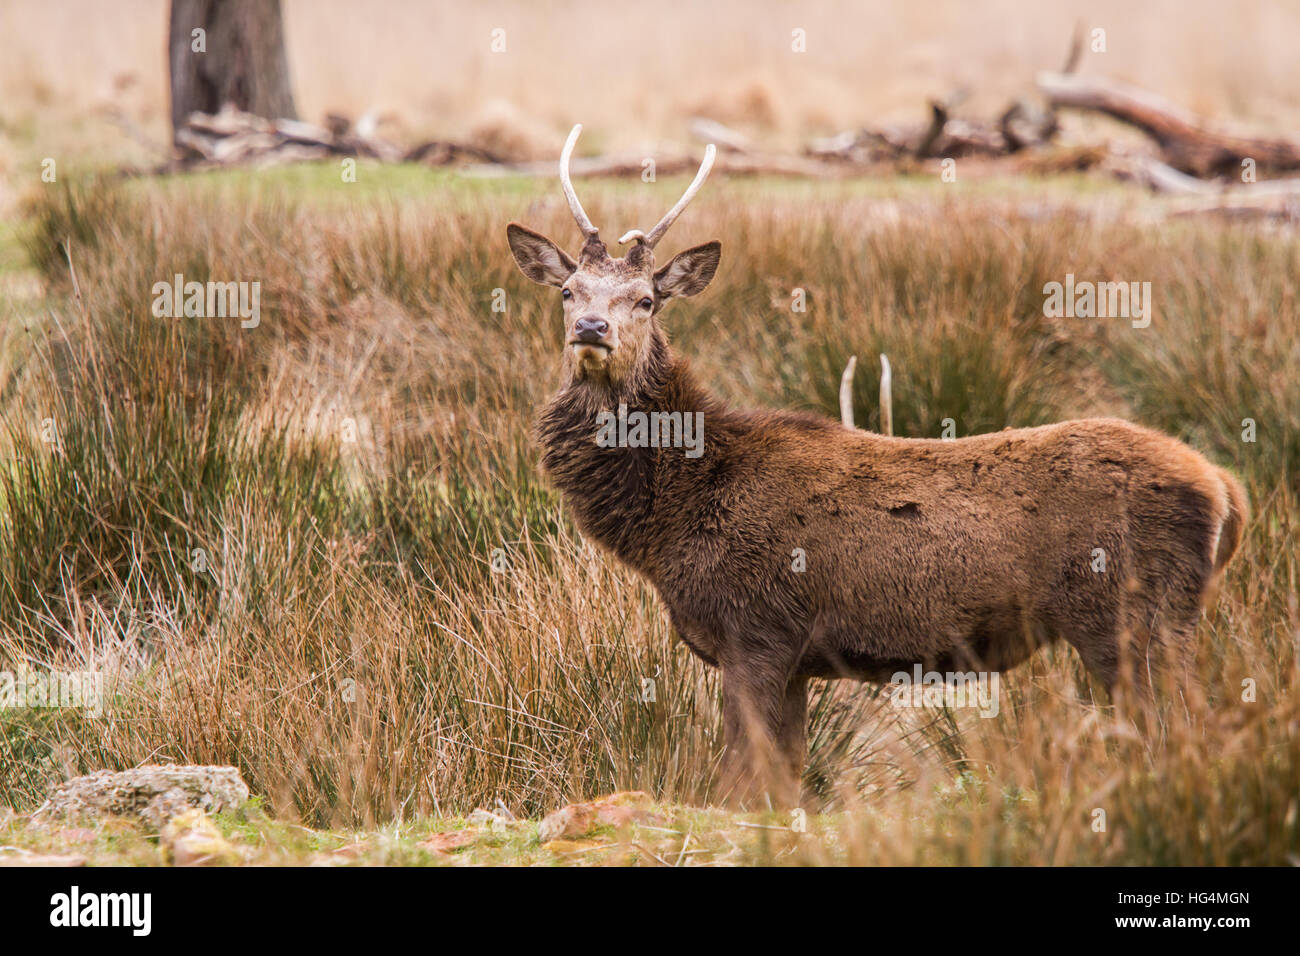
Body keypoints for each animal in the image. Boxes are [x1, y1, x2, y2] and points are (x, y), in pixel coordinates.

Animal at [507, 125, 1248, 808]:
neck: (671, 524)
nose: (593, 330)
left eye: (646, 299)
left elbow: (742, 779)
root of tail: (1226, 488)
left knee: (1182, 727)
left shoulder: (758, 628)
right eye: (568, 291)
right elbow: (785, 777)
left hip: (1130, 616)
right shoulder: (792, 659)